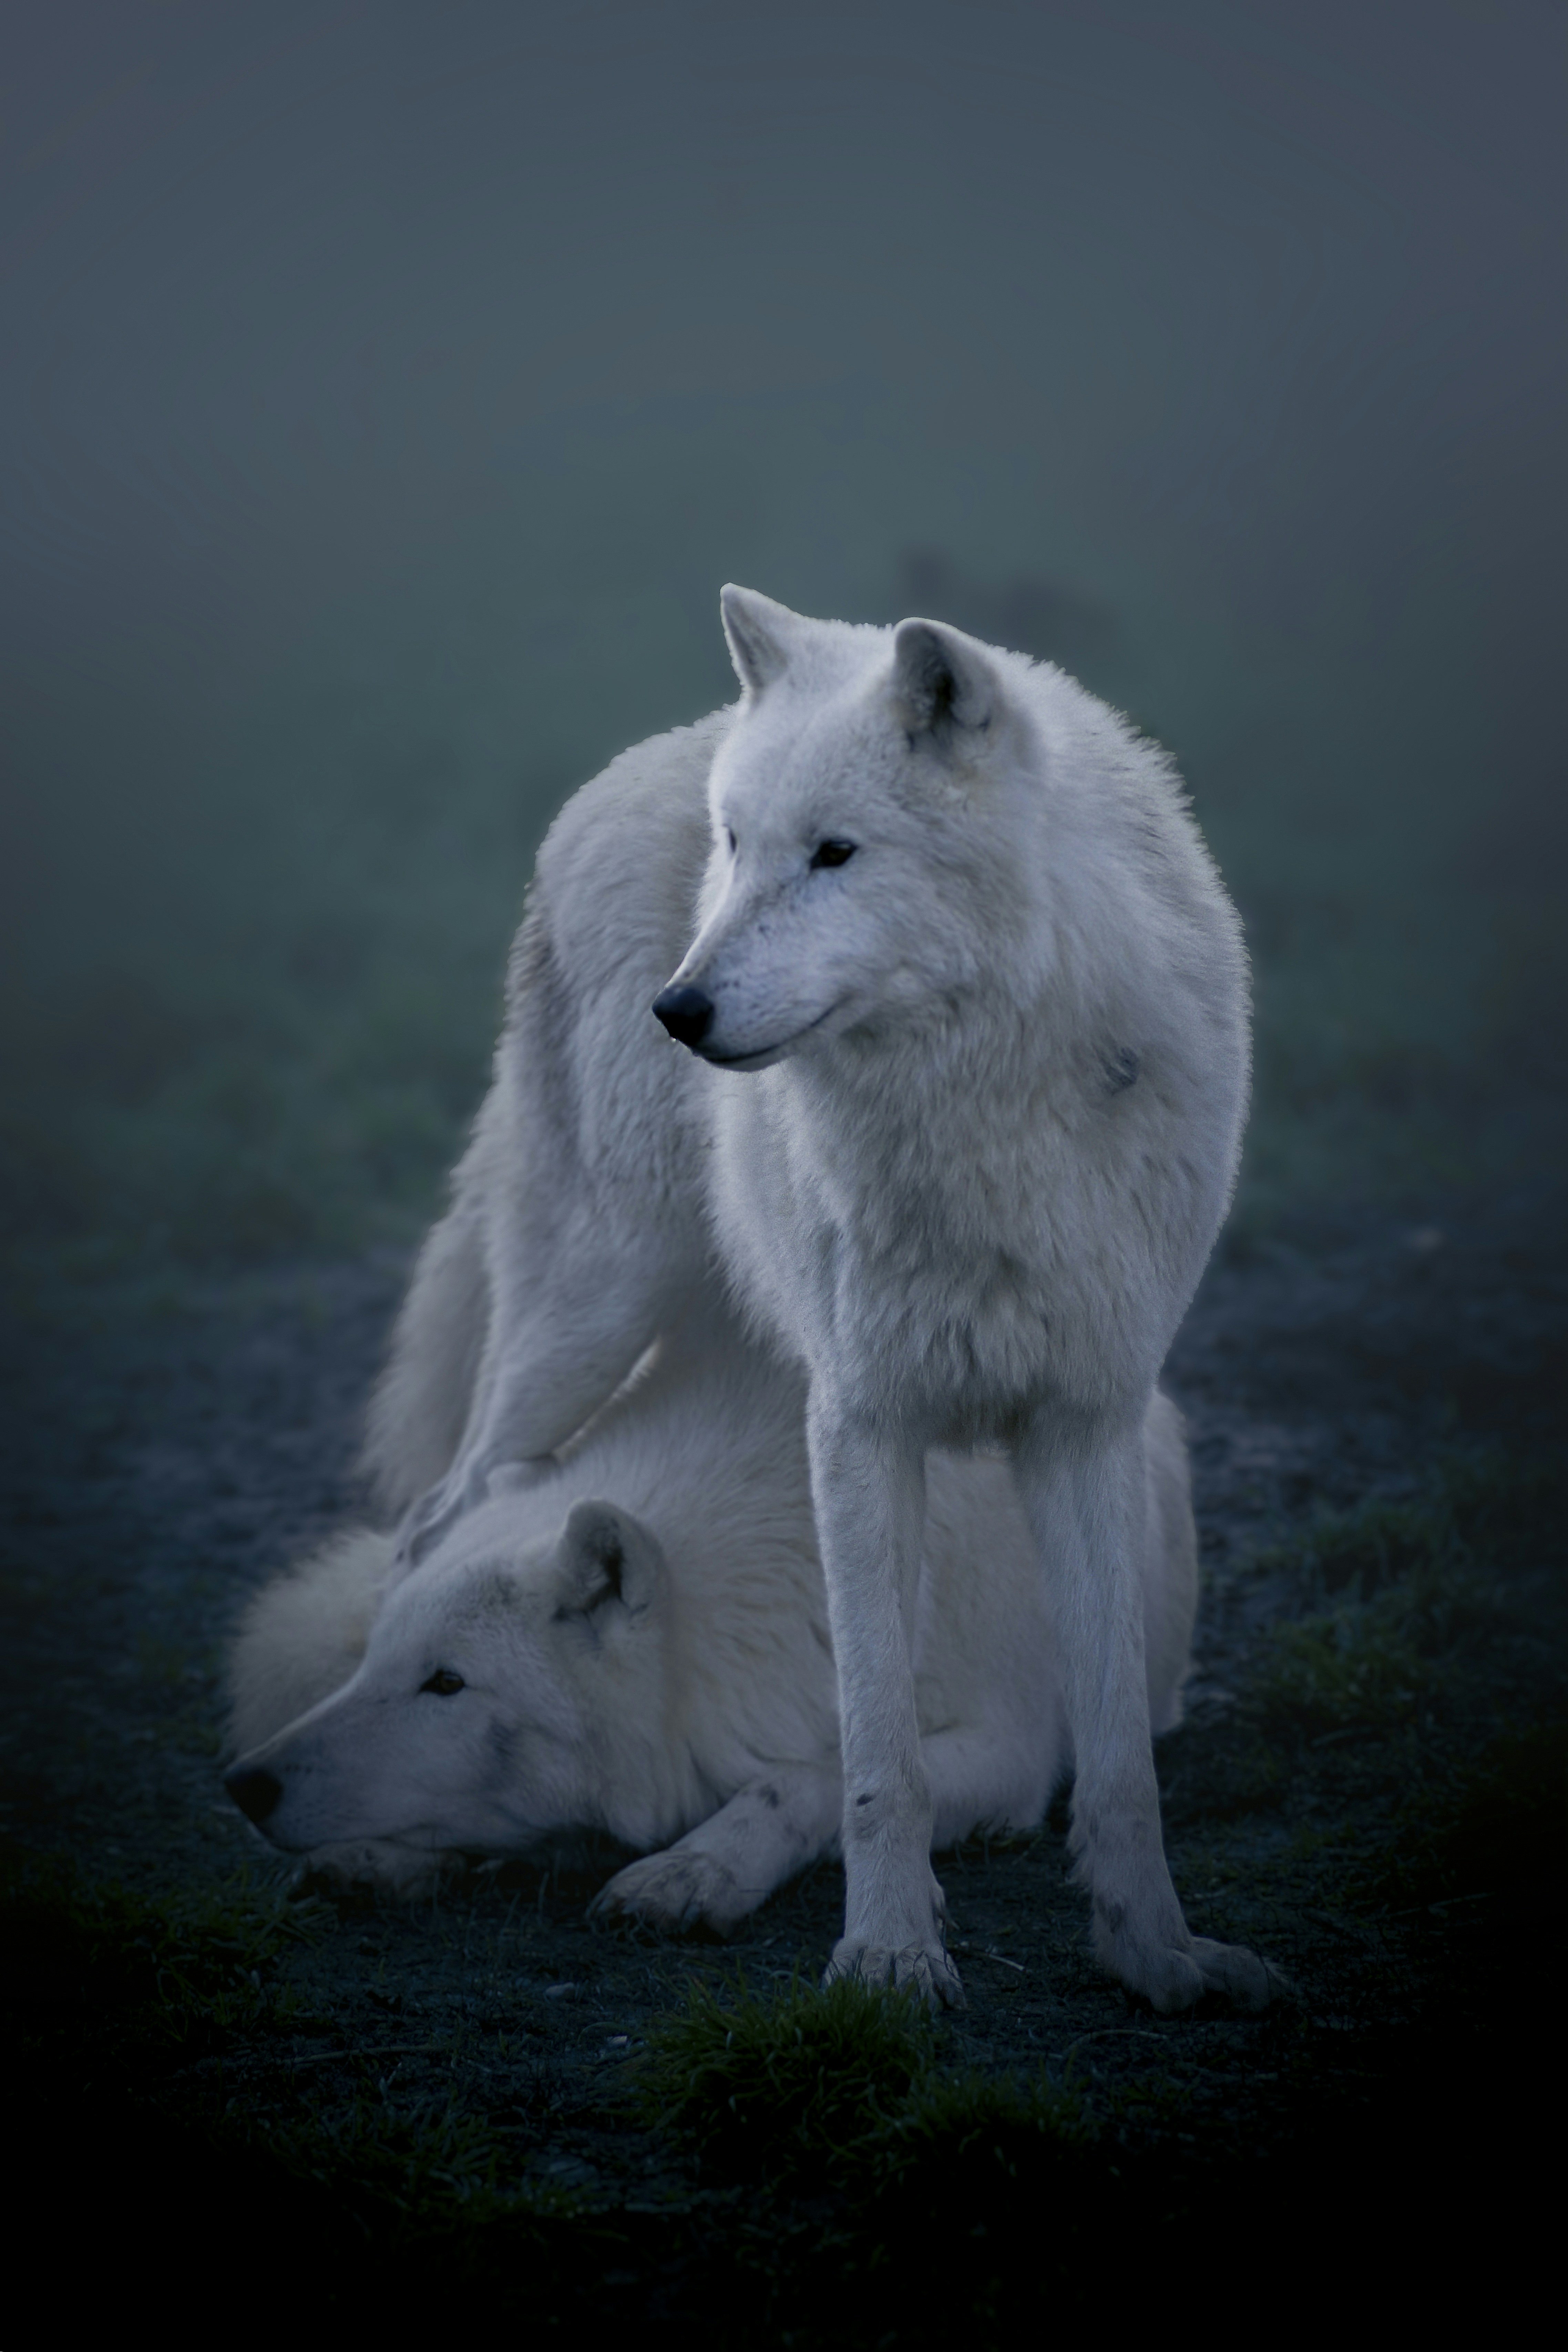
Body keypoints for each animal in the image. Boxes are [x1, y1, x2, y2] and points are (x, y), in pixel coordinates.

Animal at [226, 1313, 1201, 1922]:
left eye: (447, 1682)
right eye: (375, 1662)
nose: (244, 1784)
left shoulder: (1008, 1747)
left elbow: (810, 1778)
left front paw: (695, 1869)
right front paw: (381, 1858)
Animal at [367, 589, 1266, 2011]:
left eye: (835, 855)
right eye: (736, 849)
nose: (677, 1008)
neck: (974, 1121)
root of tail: (643, 755)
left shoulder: (1084, 1421)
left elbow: (1117, 1753)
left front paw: (1154, 1954)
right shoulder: (858, 1421)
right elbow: (874, 1753)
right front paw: (890, 1957)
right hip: (587, 1313)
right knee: (434, 1526)